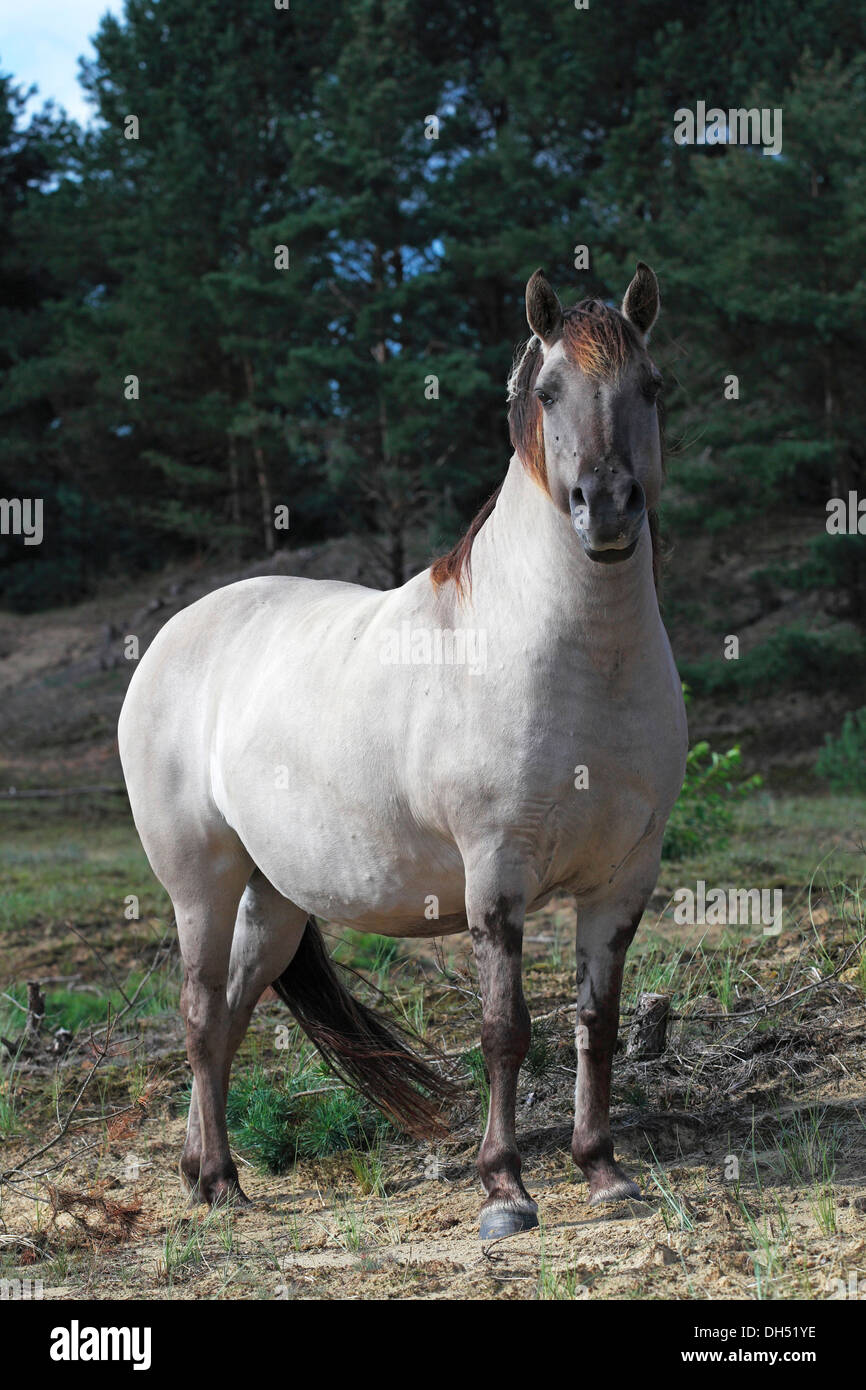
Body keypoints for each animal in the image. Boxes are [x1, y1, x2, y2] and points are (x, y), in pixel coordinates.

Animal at [118, 263, 687, 1240]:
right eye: (548, 392)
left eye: (649, 387)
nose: (607, 508)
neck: (581, 661)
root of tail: (173, 637)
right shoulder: (496, 873)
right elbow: (506, 1031)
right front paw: (505, 1191)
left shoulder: (624, 879)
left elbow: (597, 1023)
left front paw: (603, 1172)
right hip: (202, 882)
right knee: (196, 1016)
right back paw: (223, 1181)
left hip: (275, 899)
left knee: (229, 1016)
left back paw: (203, 1175)